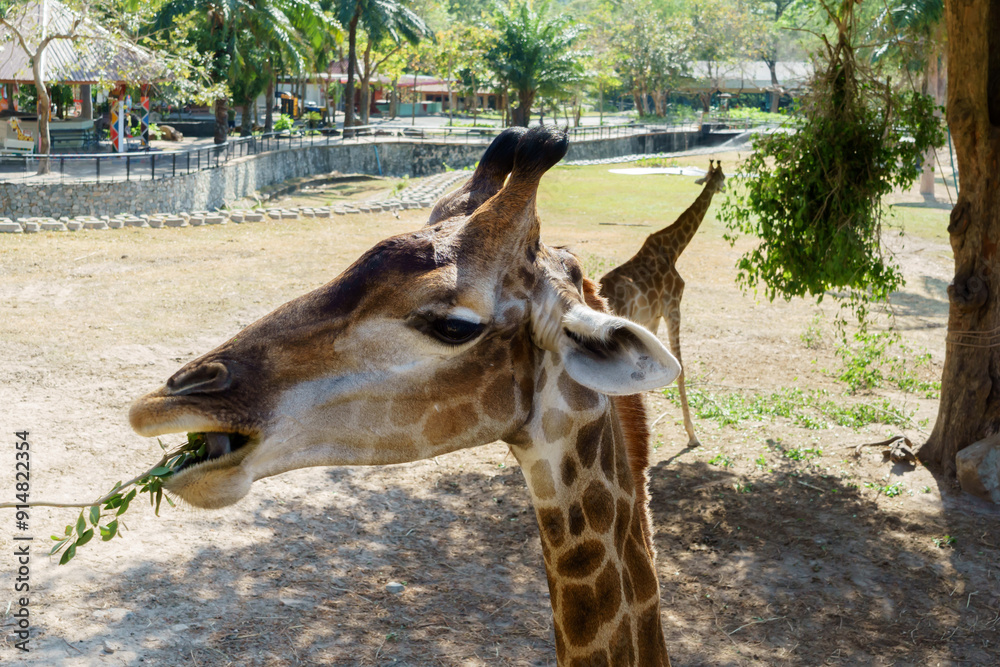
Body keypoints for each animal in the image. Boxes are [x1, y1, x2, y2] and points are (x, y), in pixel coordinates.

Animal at [599, 160, 727, 449]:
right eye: (723, 177)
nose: (724, 188)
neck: (674, 249)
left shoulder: (653, 317)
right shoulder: (673, 308)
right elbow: (680, 368)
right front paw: (692, 435)